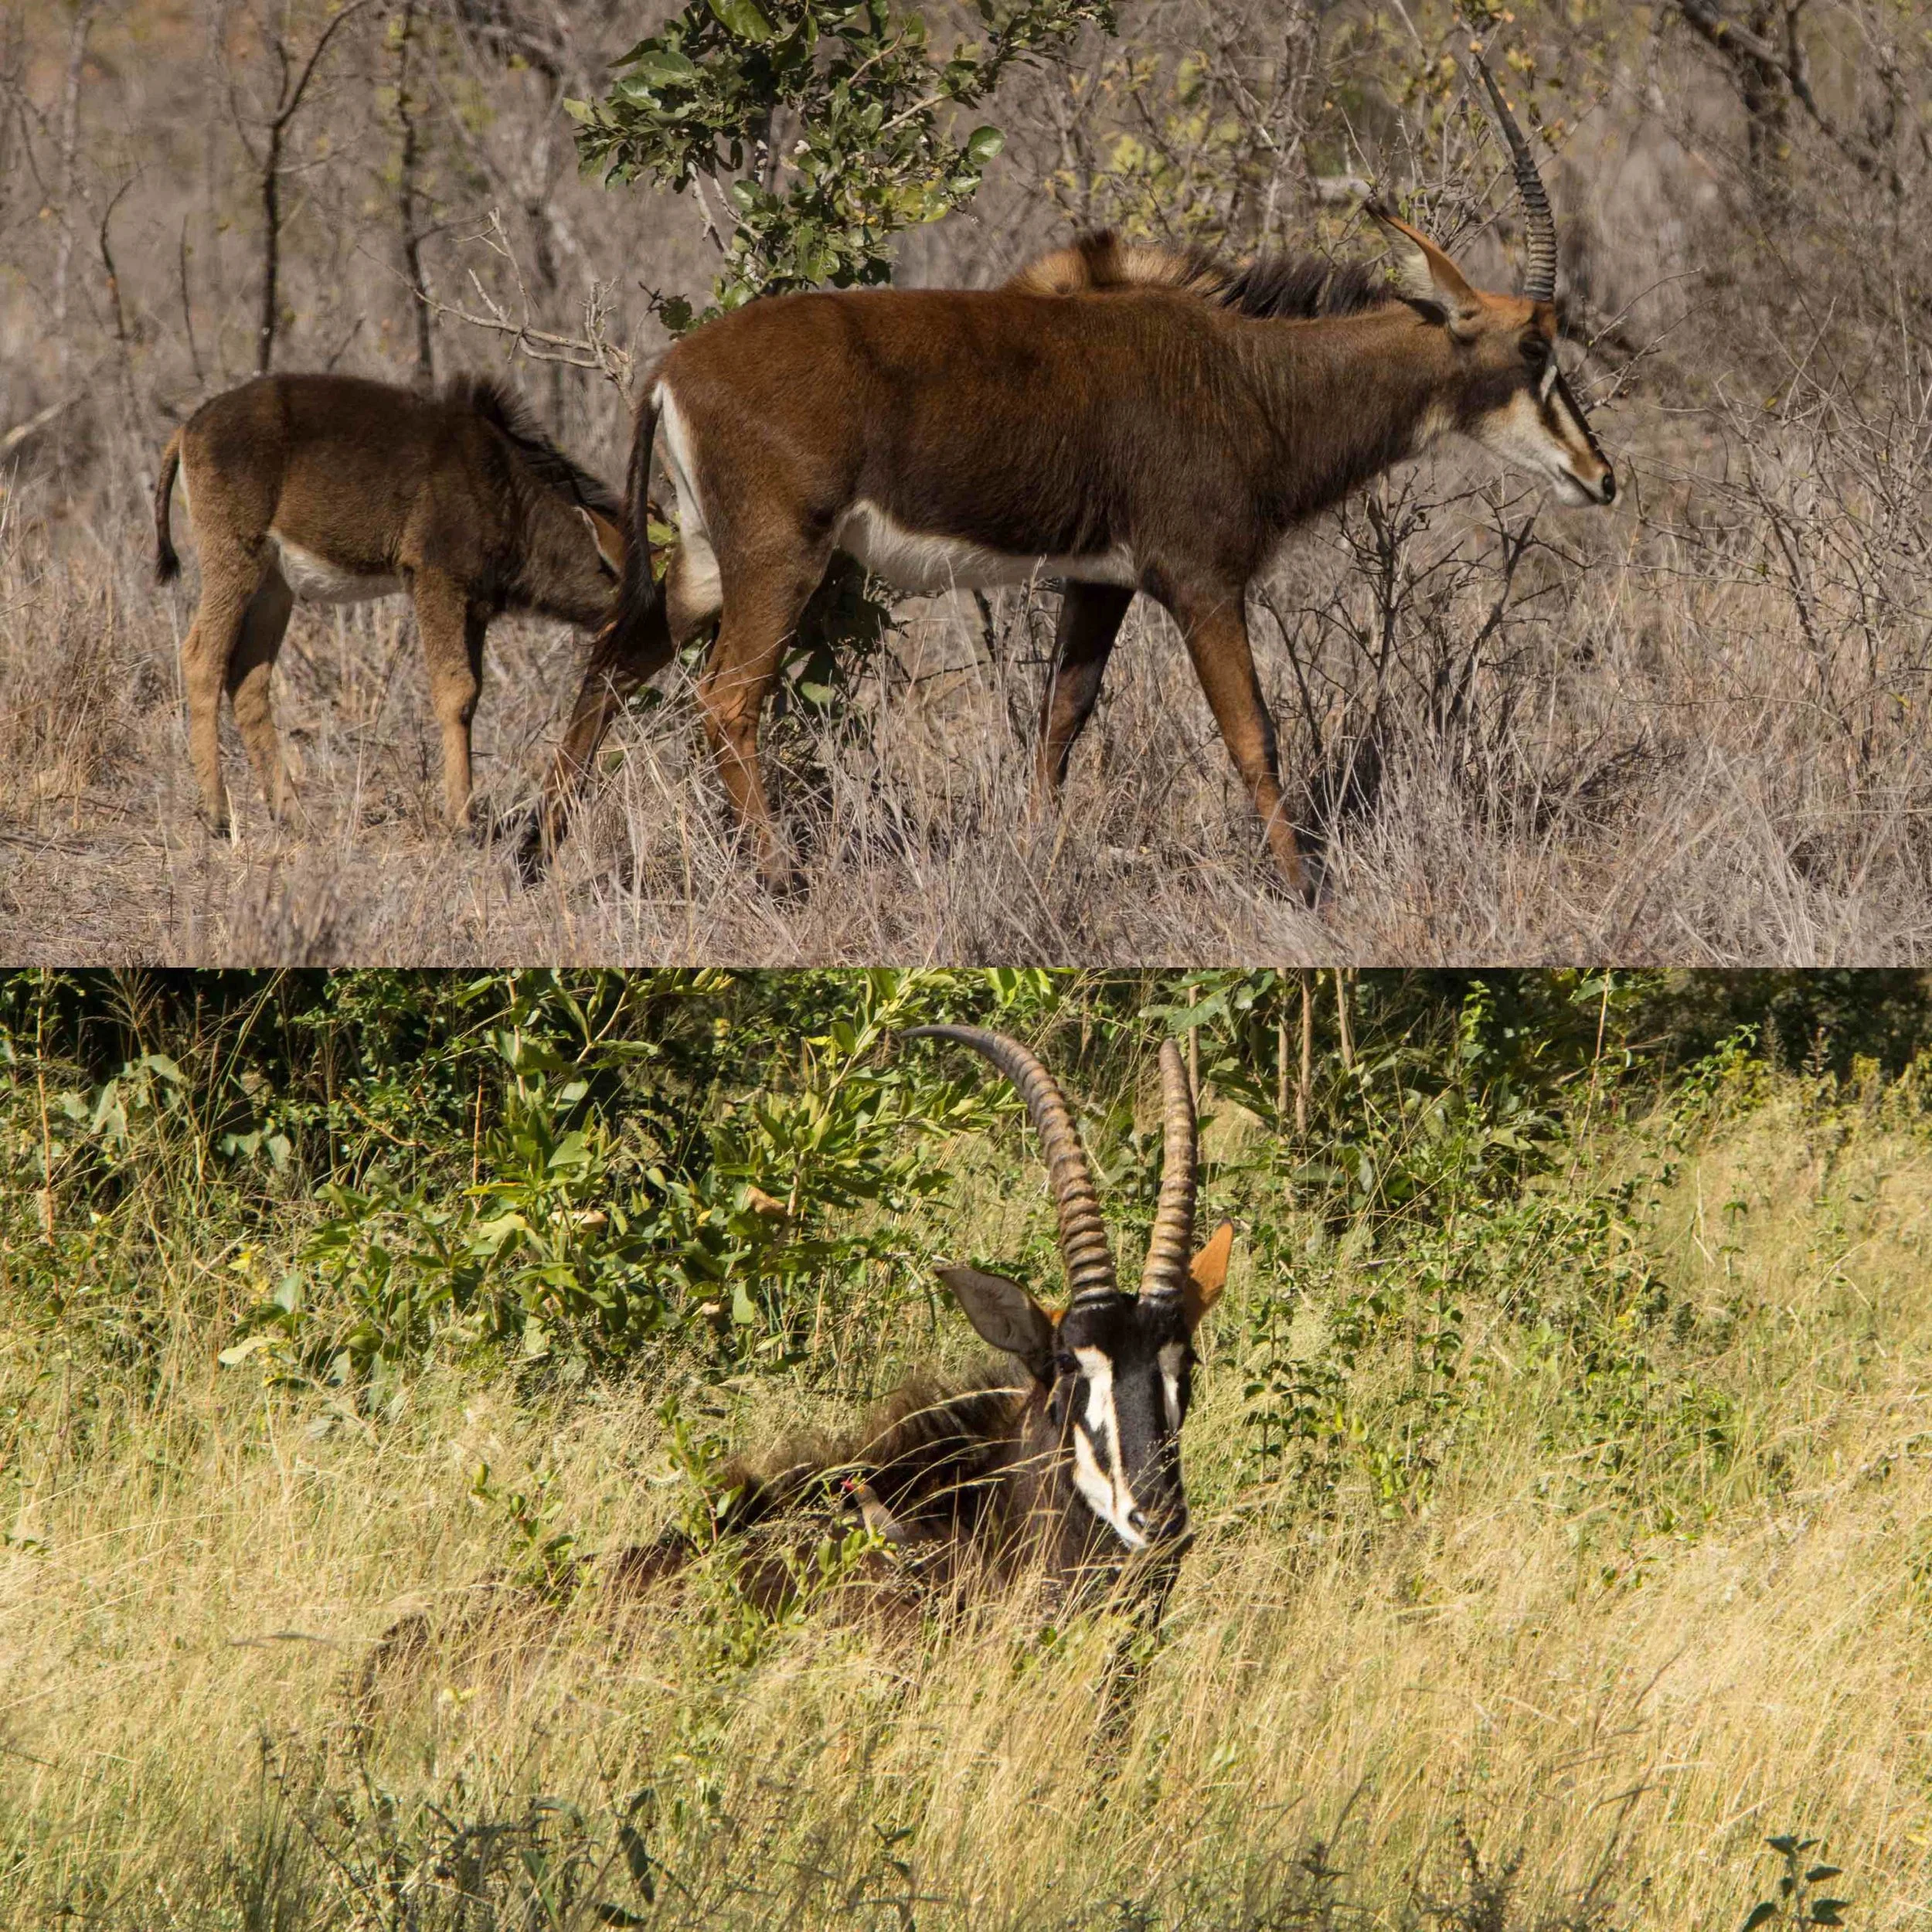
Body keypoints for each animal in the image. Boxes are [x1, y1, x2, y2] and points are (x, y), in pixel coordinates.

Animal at [154, 372, 623, 834]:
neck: (507, 490)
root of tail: (189, 428)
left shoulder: (476, 607)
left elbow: (472, 696)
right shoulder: (435, 579)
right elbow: (456, 691)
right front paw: (461, 820)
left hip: (274, 585)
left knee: (248, 678)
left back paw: (292, 815)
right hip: (235, 554)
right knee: (201, 657)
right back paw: (216, 813)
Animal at [527, 61, 1611, 895]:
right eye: (1533, 351)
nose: (1599, 476)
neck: (1250, 375)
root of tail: (671, 370)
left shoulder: (1100, 582)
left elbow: (1059, 723)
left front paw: (1034, 863)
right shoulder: (1200, 580)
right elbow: (1253, 734)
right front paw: (1305, 891)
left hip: (707, 559)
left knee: (613, 662)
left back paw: (534, 859)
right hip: (780, 555)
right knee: (724, 702)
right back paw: (782, 881)